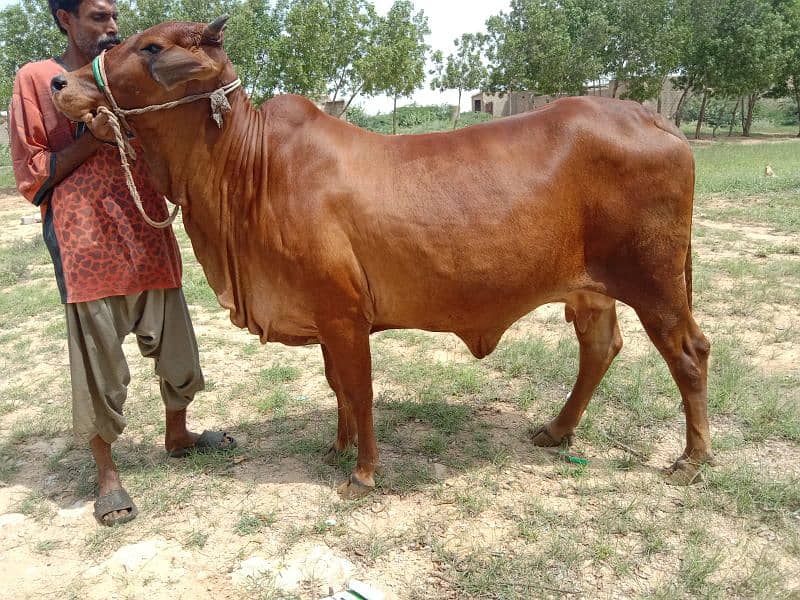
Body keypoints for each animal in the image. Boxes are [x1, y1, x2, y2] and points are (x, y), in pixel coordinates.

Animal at [51, 17, 713, 498]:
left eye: (151, 46)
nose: (61, 83)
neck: (246, 170)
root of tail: (650, 115)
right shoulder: (325, 317)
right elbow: (337, 386)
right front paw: (337, 448)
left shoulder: (345, 314)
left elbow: (360, 388)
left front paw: (363, 473)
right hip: (591, 289)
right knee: (600, 349)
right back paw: (556, 430)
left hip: (655, 282)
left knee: (688, 353)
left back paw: (692, 458)